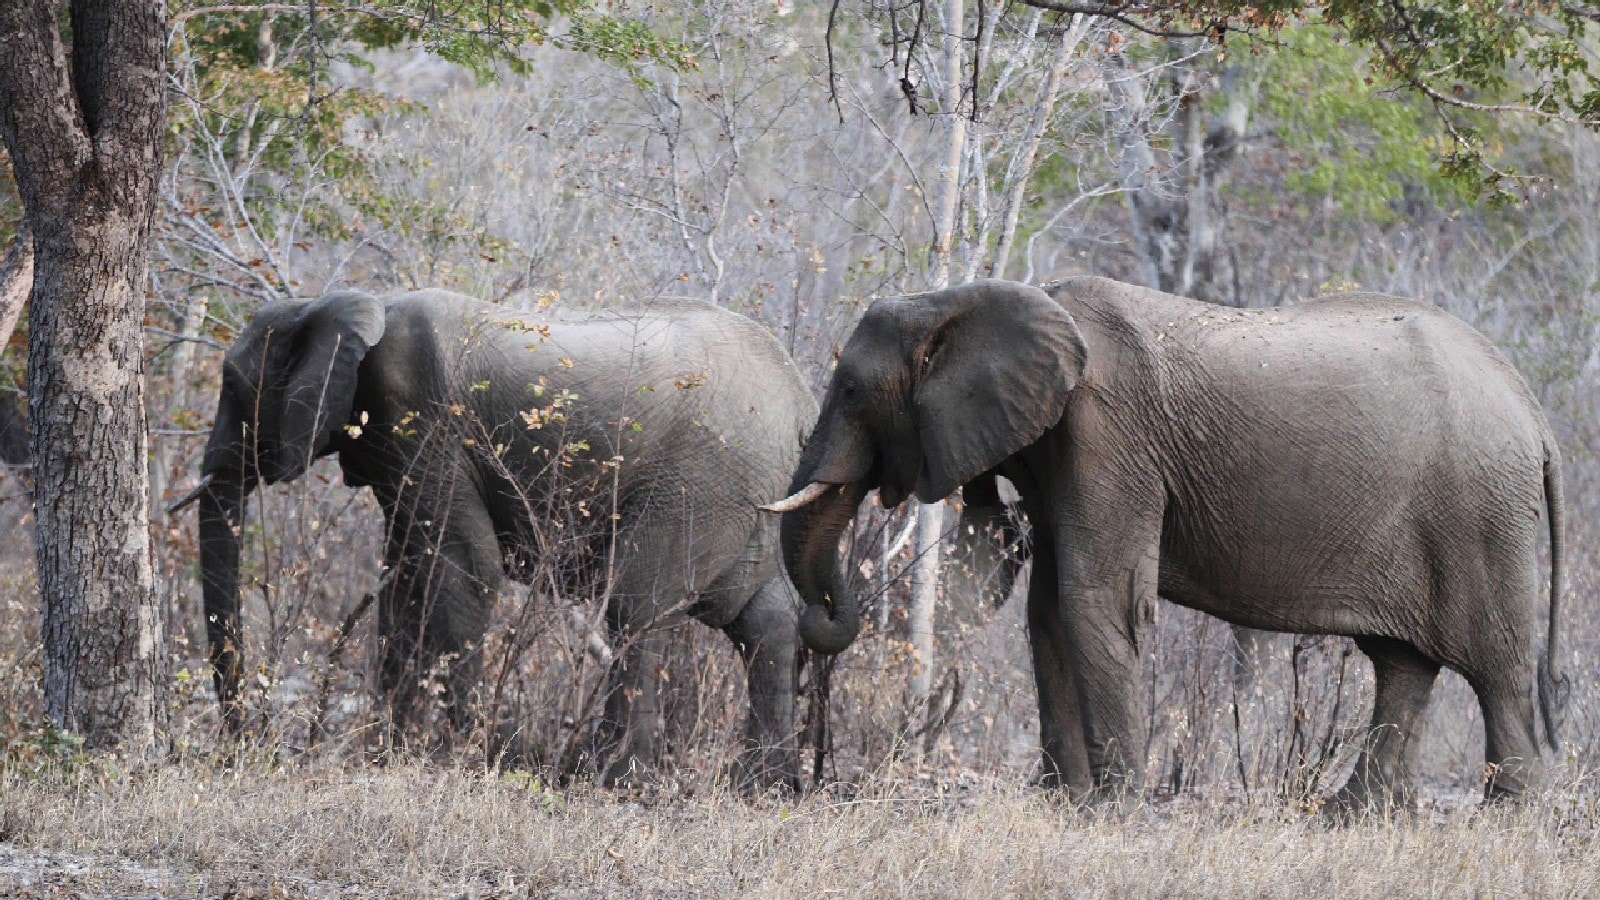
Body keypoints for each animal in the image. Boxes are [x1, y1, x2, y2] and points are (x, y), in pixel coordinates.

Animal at [176, 288, 816, 789]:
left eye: (232, 382)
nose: (243, 745)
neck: (343, 302)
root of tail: (800, 395)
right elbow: (406, 578)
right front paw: (391, 755)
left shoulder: (423, 417)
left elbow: (462, 569)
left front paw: (469, 757)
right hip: (746, 493)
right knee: (764, 619)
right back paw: (766, 788)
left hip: (700, 480)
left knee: (635, 608)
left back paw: (612, 780)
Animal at [772, 275, 1567, 808]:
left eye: (850, 391)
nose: (822, 615)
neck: (966, 301)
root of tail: (1532, 409)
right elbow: (1048, 611)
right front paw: (1065, 801)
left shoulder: (1107, 437)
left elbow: (1094, 601)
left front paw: (1112, 810)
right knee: (1403, 666)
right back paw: (1351, 817)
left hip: (1480, 513)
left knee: (1494, 668)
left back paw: (1507, 816)